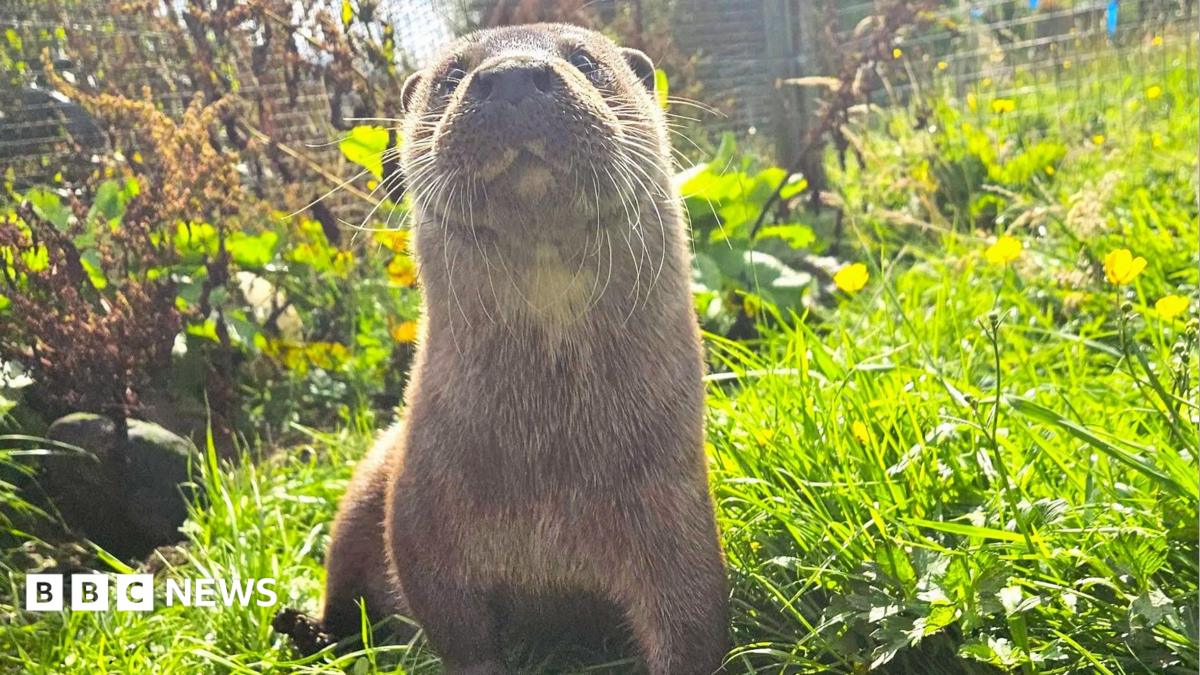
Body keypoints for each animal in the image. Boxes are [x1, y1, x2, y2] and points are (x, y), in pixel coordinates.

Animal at [275, 23, 728, 674]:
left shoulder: (675, 519)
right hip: (363, 489)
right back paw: (307, 632)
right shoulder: (421, 523)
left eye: (585, 60)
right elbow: (457, 632)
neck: (548, 465)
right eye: (451, 75)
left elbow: (693, 627)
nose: (511, 75)